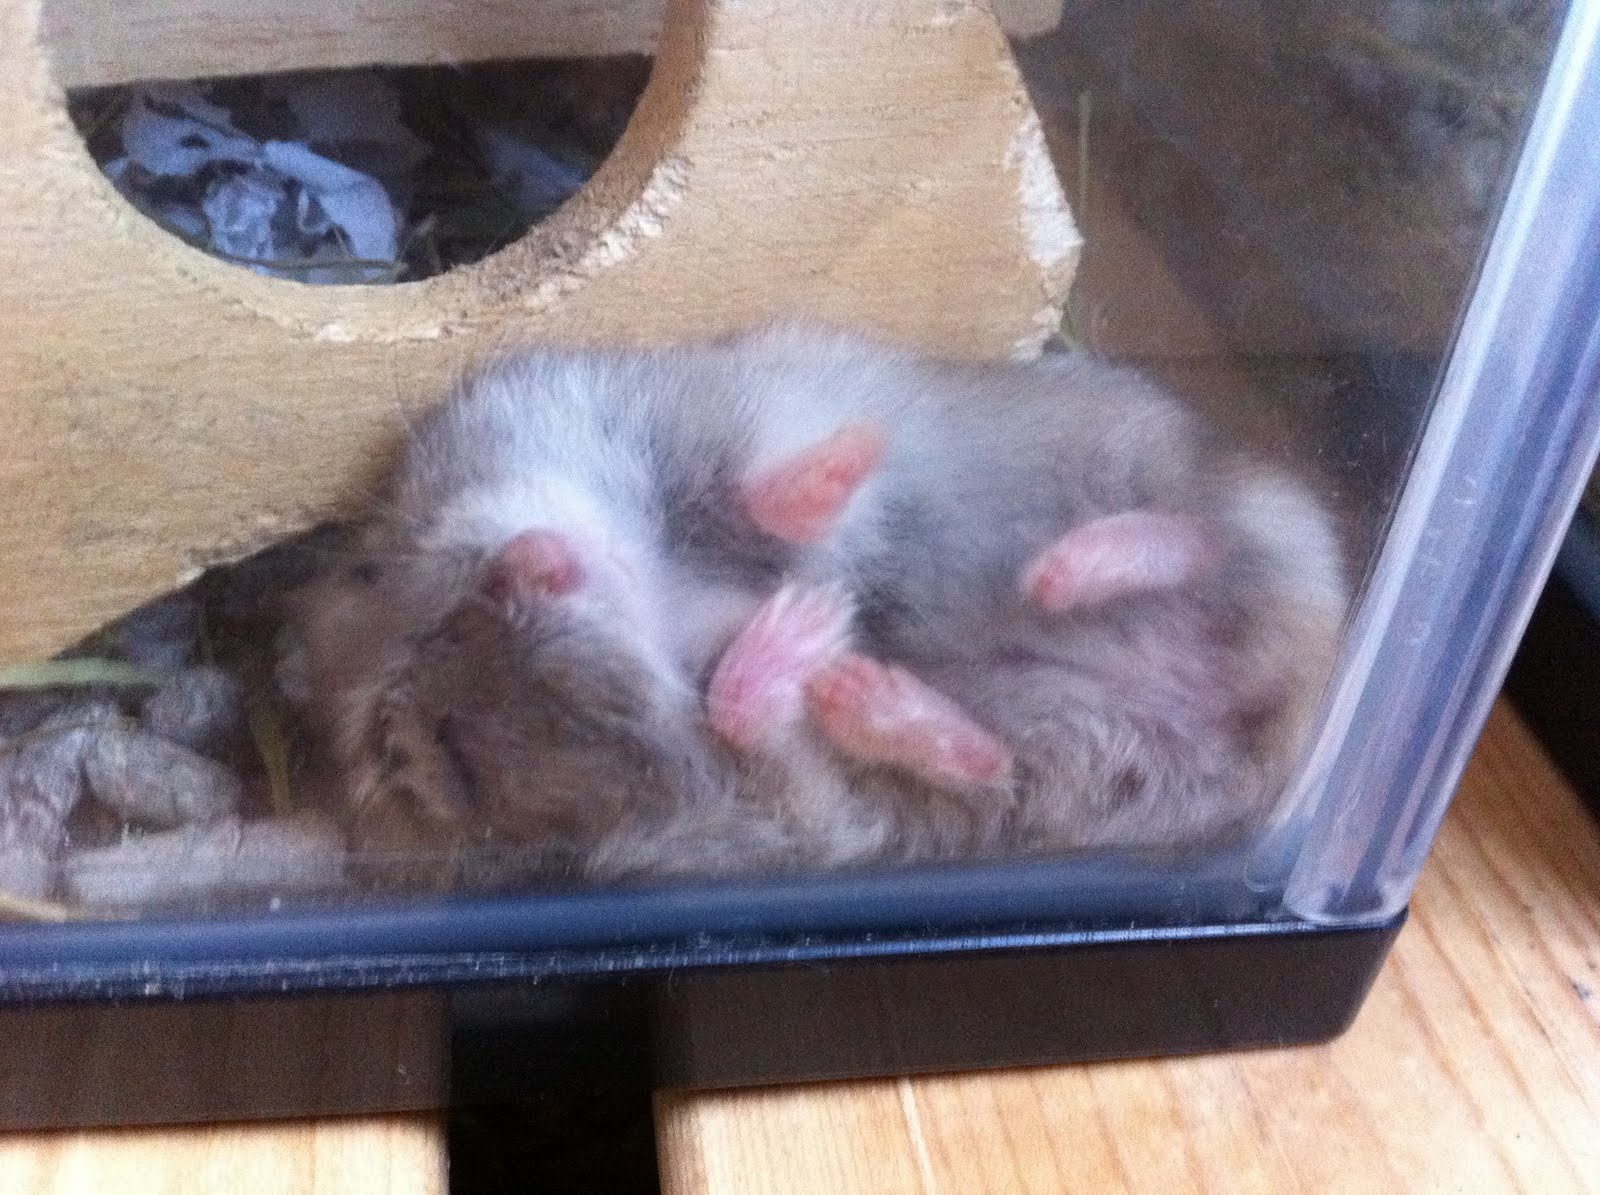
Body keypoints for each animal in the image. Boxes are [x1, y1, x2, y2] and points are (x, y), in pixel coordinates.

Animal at [279, 325, 1348, 890]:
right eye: (431, 756)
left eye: (371, 564)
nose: (527, 560)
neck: (662, 596)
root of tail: (1287, 735)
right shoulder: (775, 812)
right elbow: (753, 725)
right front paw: (808, 639)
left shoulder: (702, 430)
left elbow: (766, 498)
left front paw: (847, 466)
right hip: (1065, 771)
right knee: (981, 757)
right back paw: (868, 685)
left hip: (1242, 509)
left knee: (1208, 540)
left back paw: (1064, 570)